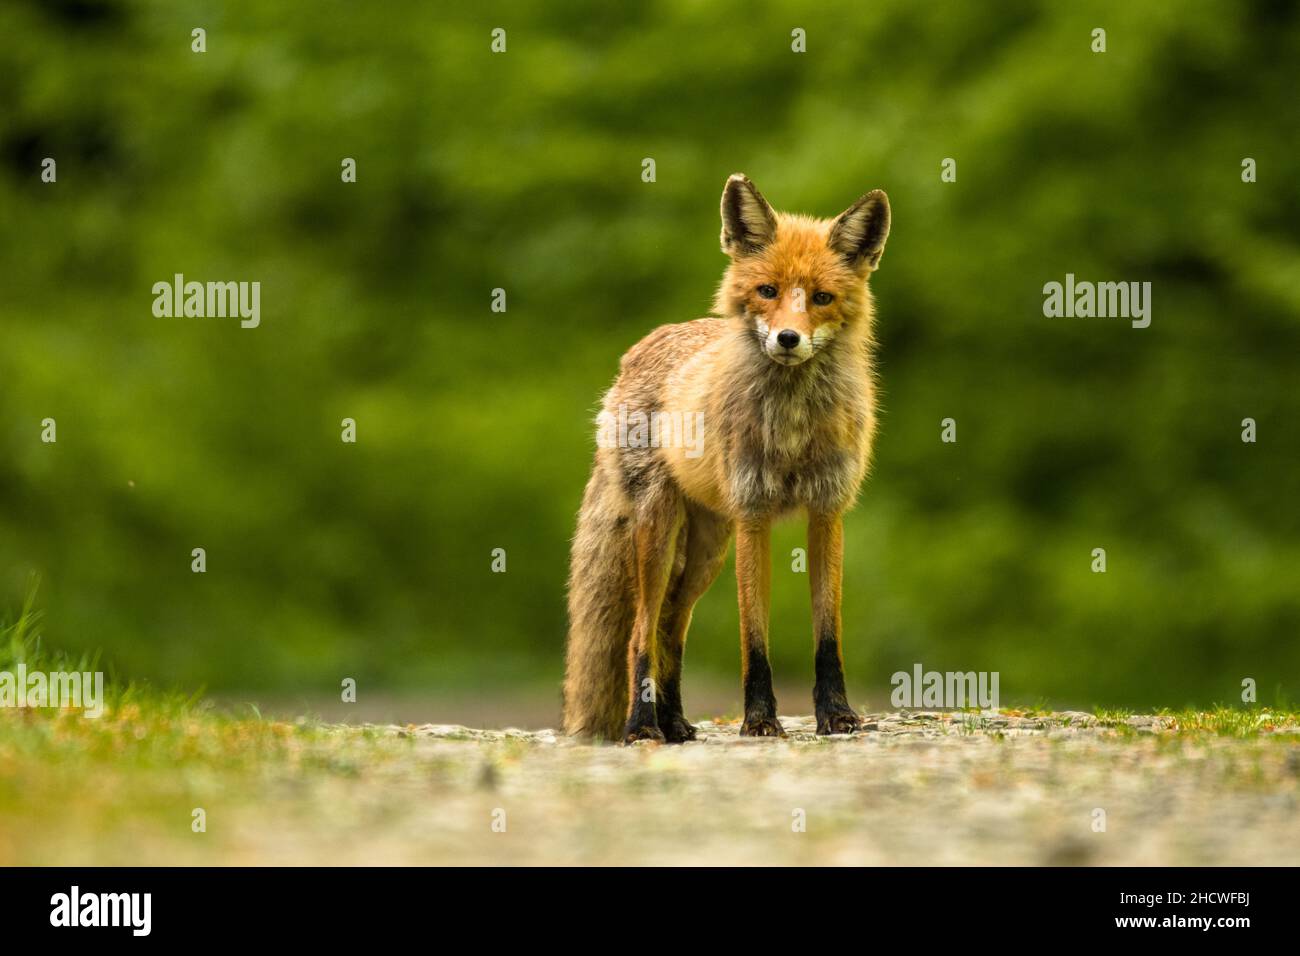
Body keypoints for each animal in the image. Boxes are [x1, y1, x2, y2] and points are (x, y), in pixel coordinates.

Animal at [563, 173, 890, 743]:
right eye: (768, 292)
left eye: (822, 298)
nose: (788, 338)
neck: (791, 425)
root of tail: (640, 348)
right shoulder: (753, 515)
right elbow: (753, 637)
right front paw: (760, 720)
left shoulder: (827, 512)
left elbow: (828, 634)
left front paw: (836, 715)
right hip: (659, 533)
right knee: (641, 632)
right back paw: (643, 727)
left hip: (706, 550)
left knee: (670, 629)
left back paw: (675, 723)